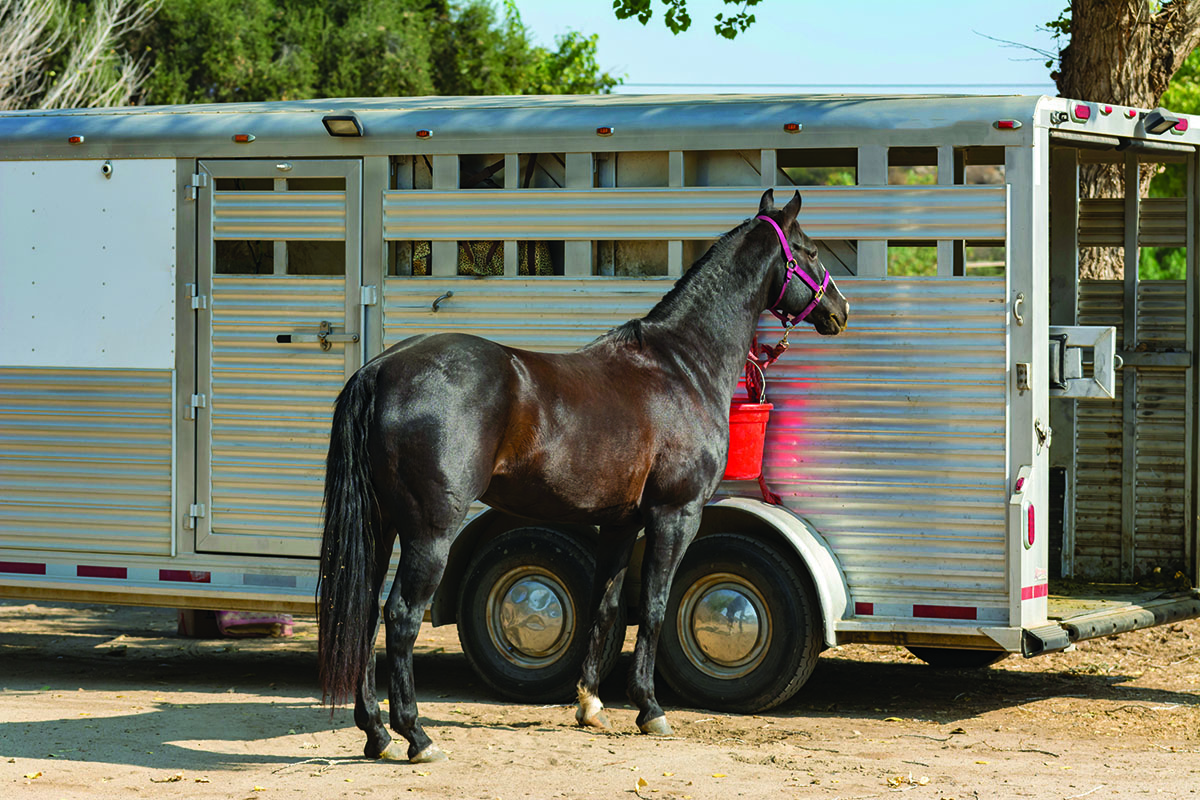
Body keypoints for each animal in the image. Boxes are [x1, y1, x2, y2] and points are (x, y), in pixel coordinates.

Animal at [317, 188, 849, 763]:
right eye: (810, 250)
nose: (841, 310)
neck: (681, 365)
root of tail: (380, 369)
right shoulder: (675, 515)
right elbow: (655, 606)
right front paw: (650, 710)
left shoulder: (619, 522)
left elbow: (607, 605)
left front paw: (590, 705)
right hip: (430, 532)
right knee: (400, 617)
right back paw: (416, 735)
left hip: (381, 524)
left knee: (364, 613)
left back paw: (377, 734)